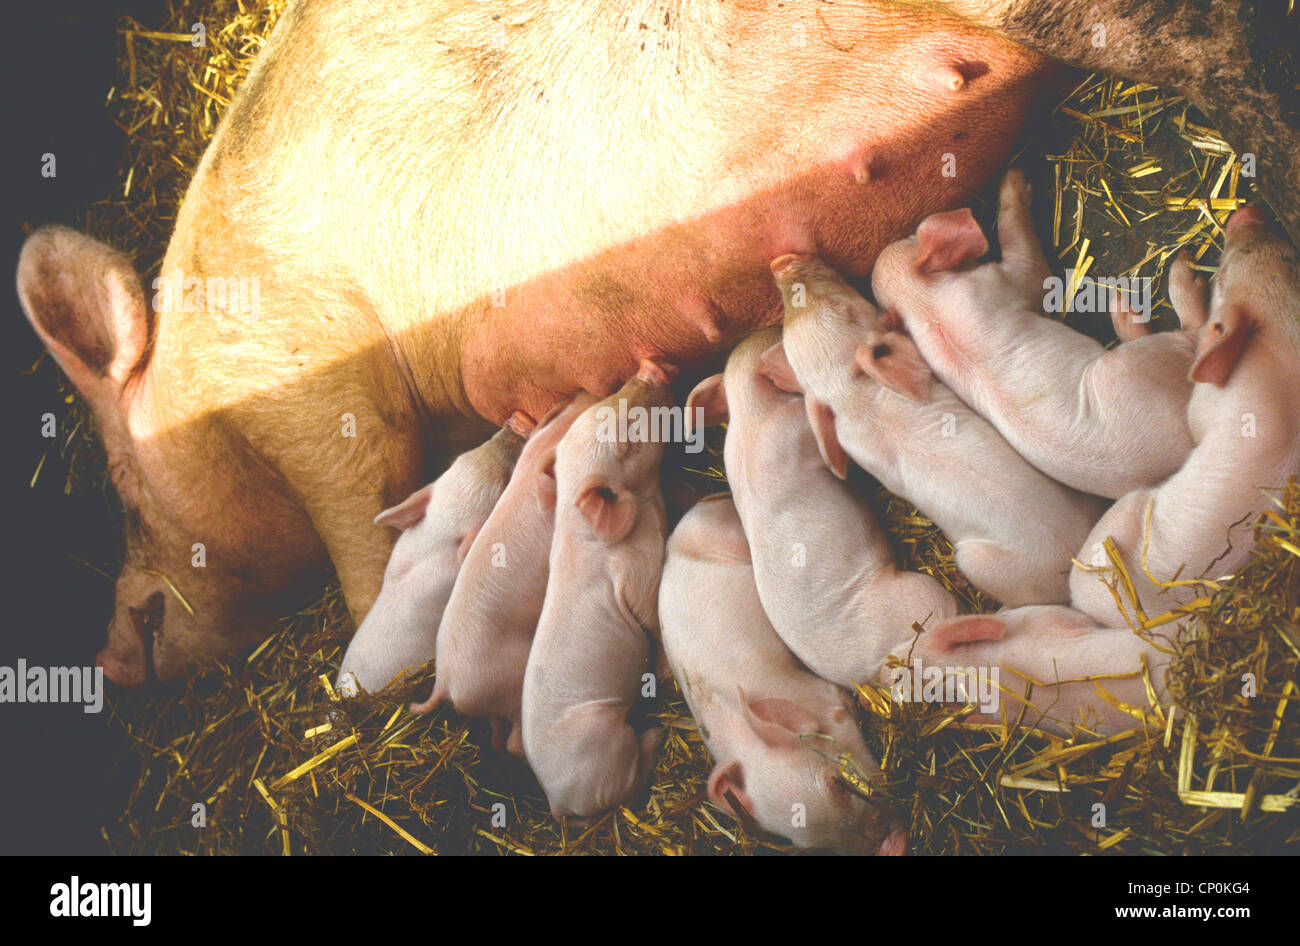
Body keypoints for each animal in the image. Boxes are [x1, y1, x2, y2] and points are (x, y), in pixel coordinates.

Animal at [410, 393, 596, 755]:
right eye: (575, 423)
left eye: (567, 409)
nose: (587, 395)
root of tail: (445, 683)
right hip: (510, 683)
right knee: (512, 741)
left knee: (497, 736)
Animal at [521, 360, 672, 820]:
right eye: (627, 442)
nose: (650, 369)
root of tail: (556, 798)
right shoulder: (637, 574)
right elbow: (652, 621)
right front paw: (665, 669)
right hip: (606, 743)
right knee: (629, 780)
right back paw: (655, 734)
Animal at [870, 167, 1204, 499]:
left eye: (908, 236)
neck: (925, 307)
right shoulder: (1004, 282)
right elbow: (1031, 267)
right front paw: (1014, 179)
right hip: (1143, 363)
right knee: (1193, 333)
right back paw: (1147, 289)